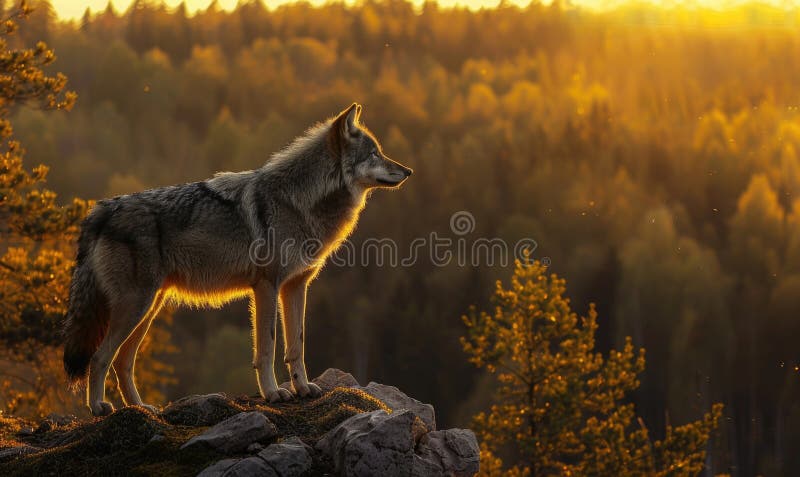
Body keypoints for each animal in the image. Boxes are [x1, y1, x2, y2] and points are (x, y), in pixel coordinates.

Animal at [62, 103, 412, 416]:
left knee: (123, 361)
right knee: (100, 357)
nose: (408, 171)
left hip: (149, 308)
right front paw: (273, 393)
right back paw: (99, 408)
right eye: (374, 154)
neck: (299, 202)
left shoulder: (296, 286)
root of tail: (101, 209)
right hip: (136, 306)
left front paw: (302, 388)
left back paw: (141, 408)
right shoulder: (267, 287)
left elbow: (296, 345)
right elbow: (268, 347)